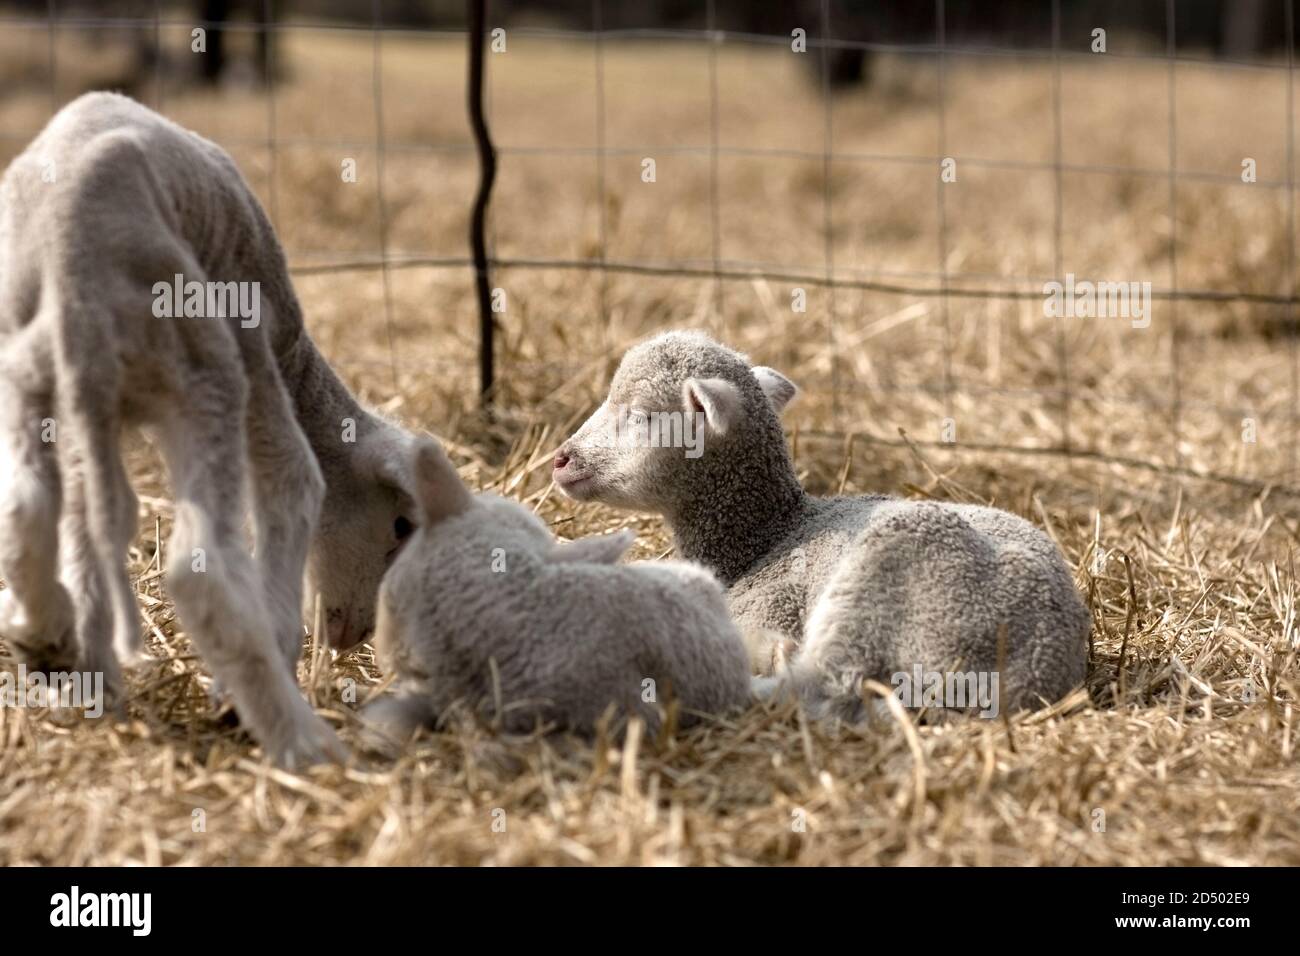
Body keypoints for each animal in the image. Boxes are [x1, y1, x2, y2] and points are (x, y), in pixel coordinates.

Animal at [0, 92, 426, 767]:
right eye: (401, 525)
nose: (355, 636)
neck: (297, 361)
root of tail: (72, 267)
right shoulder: (257, 348)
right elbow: (294, 480)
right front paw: (260, 664)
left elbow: (84, 527)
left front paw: (89, 673)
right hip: (204, 359)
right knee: (199, 567)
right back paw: (304, 743)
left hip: (31, 374)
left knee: (26, 506)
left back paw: (48, 644)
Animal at [553, 331, 1090, 721]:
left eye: (643, 416)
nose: (560, 458)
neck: (764, 540)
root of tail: (1029, 669)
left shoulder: (779, 601)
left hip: (886, 582)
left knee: (821, 685)